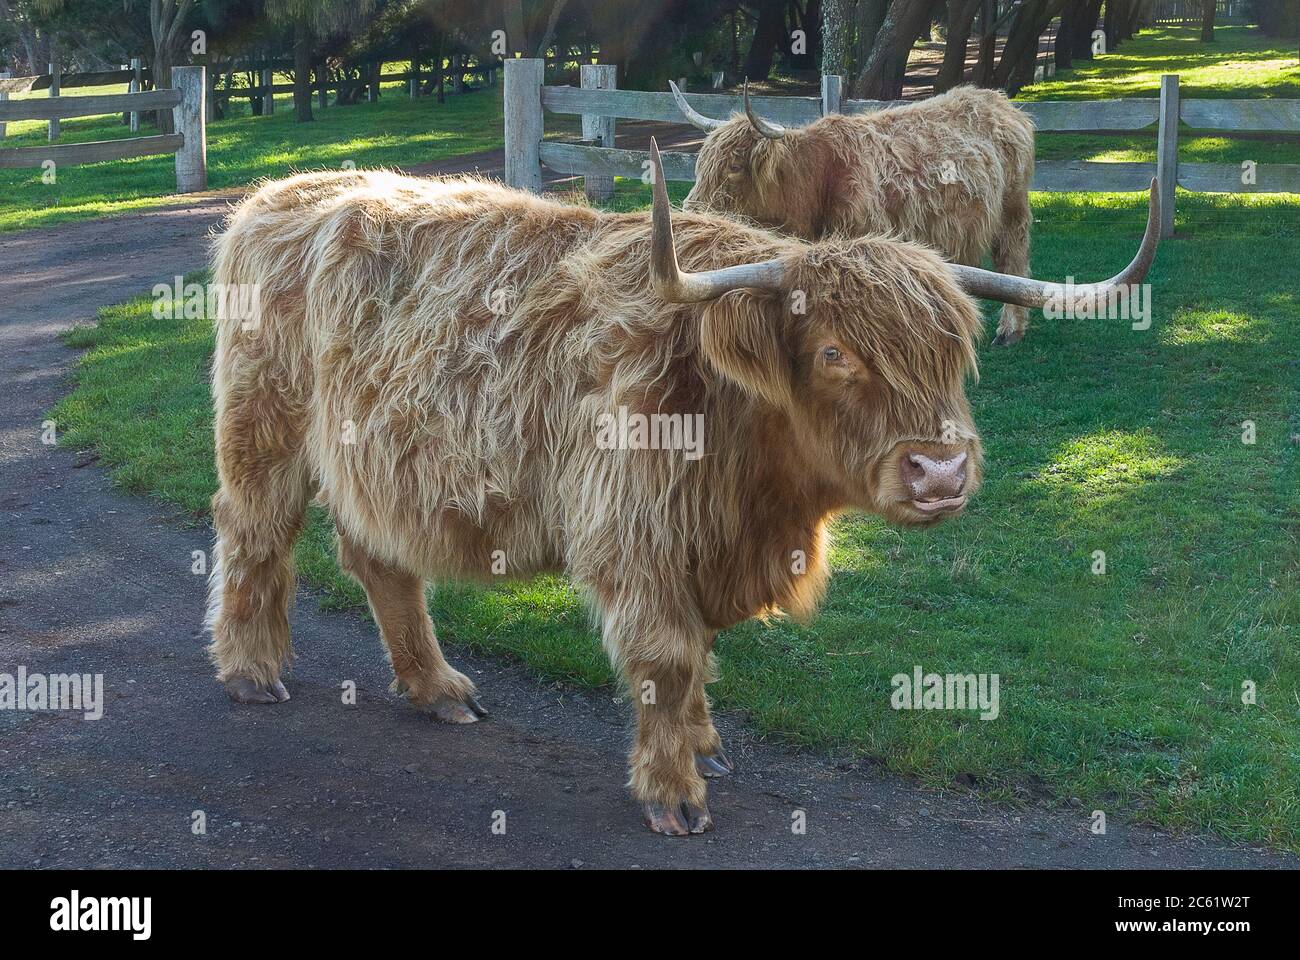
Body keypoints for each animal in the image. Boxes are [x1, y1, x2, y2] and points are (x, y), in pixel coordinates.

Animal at [205, 140, 1158, 835]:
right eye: (834, 353)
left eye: (952, 355)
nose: (941, 472)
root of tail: (280, 196)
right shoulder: (636, 532)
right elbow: (668, 656)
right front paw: (673, 793)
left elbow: (702, 655)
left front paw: (703, 745)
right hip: (266, 427)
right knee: (253, 531)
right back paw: (251, 672)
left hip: (373, 458)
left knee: (379, 558)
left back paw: (437, 688)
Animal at [671, 82, 1039, 346]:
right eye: (700, 164)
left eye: (733, 167)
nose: (689, 212)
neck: (817, 179)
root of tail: (999, 102)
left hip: (1013, 210)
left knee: (1013, 260)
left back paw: (1010, 330)